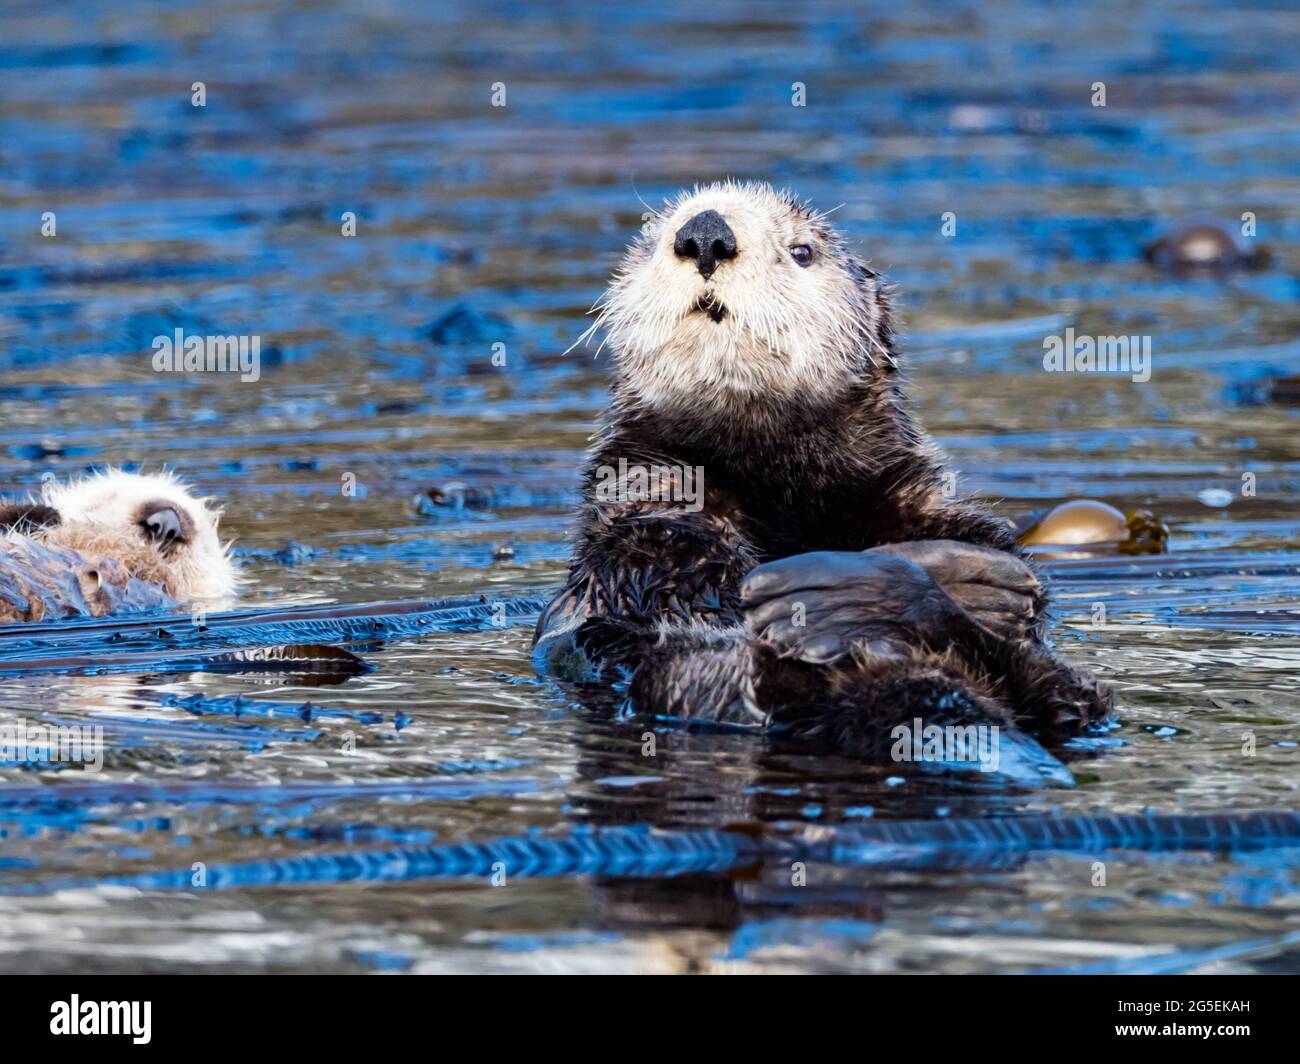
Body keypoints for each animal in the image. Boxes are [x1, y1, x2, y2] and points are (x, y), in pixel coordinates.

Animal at [535, 180, 1111, 762]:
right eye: (654, 240)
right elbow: (679, 580)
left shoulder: (912, 497)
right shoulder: (648, 504)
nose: (704, 234)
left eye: (802, 251)